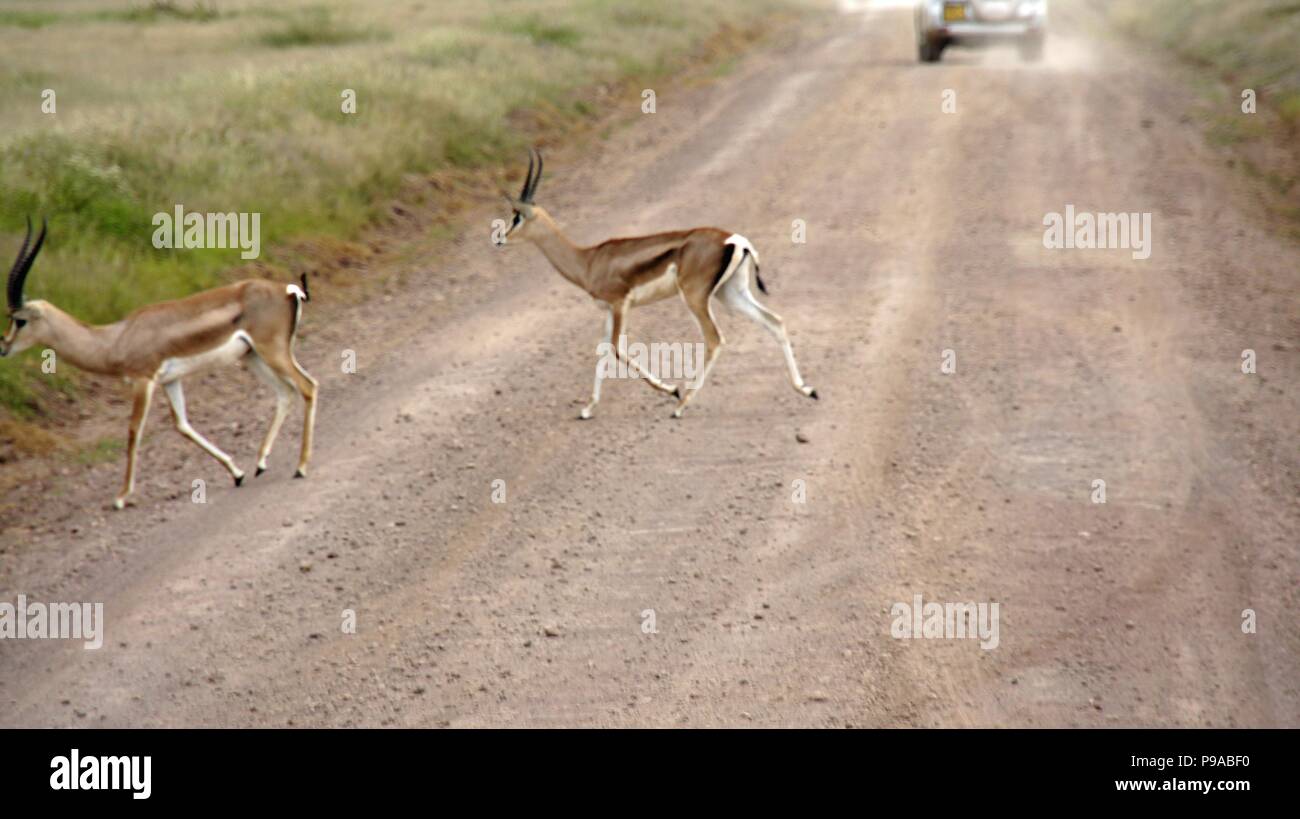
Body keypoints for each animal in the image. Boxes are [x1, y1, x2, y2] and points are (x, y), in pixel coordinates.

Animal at [1, 218, 319, 510]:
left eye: (20, 320)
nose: (3, 346)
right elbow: (182, 425)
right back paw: (260, 464)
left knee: (308, 386)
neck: (116, 338)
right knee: (286, 393)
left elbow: (133, 431)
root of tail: (288, 290)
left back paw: (301, 468)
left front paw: (121, 497)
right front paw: (237, 473)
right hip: (252, 357)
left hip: (271, 352)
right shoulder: (170, 381)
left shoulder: (144, 381)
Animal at [500, 149, 817, 419]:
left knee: (714, 339)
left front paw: (671, 389)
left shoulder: (621, 304)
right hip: (730, 294)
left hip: (695, 297)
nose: (500, 238)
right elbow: (602, 351)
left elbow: (617, 349)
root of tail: (734, 240)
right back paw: (807, 390)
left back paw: (681, 404)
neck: (588, 260)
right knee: (774, 321)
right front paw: (588, 409)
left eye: (517, 217)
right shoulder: (608, 310)